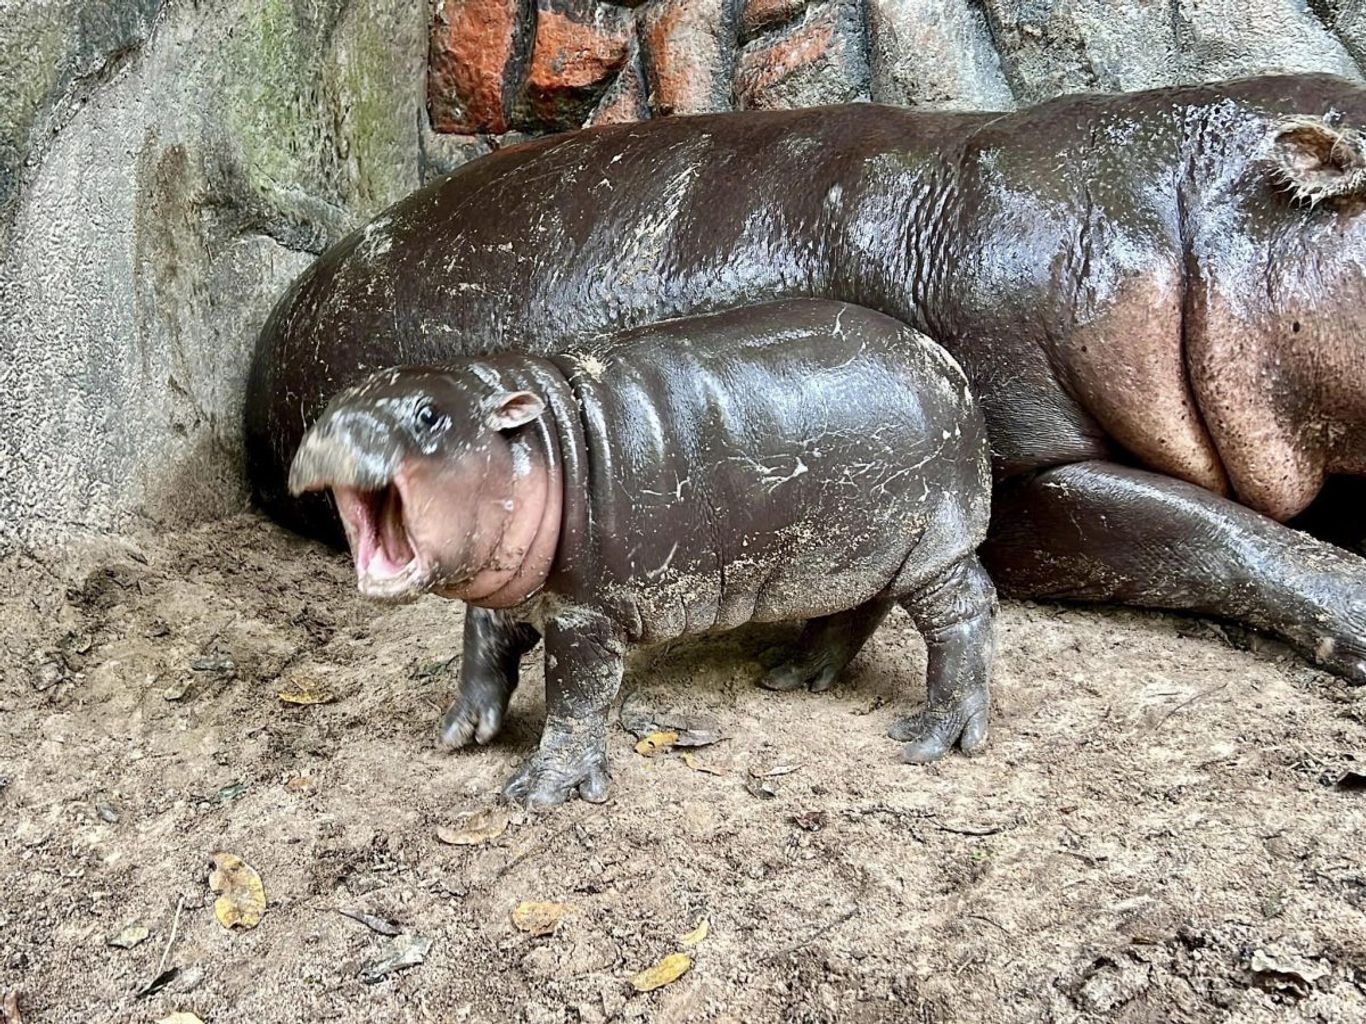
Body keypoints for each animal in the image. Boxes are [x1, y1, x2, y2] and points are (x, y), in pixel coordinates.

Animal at [287, 301, 995, 805]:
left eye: (429, 415)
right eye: (335, 401)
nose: (332, 431)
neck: (546, 445)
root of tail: (950, 365)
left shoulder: (585, 614)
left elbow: (578, 698)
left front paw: (539, 792)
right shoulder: (511, 586)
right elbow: (482, 646)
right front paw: (461, 729)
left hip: (934, 547)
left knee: (965, 612)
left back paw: (931, 738)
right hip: (848, 553)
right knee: (857, 608)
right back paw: (790, 672)